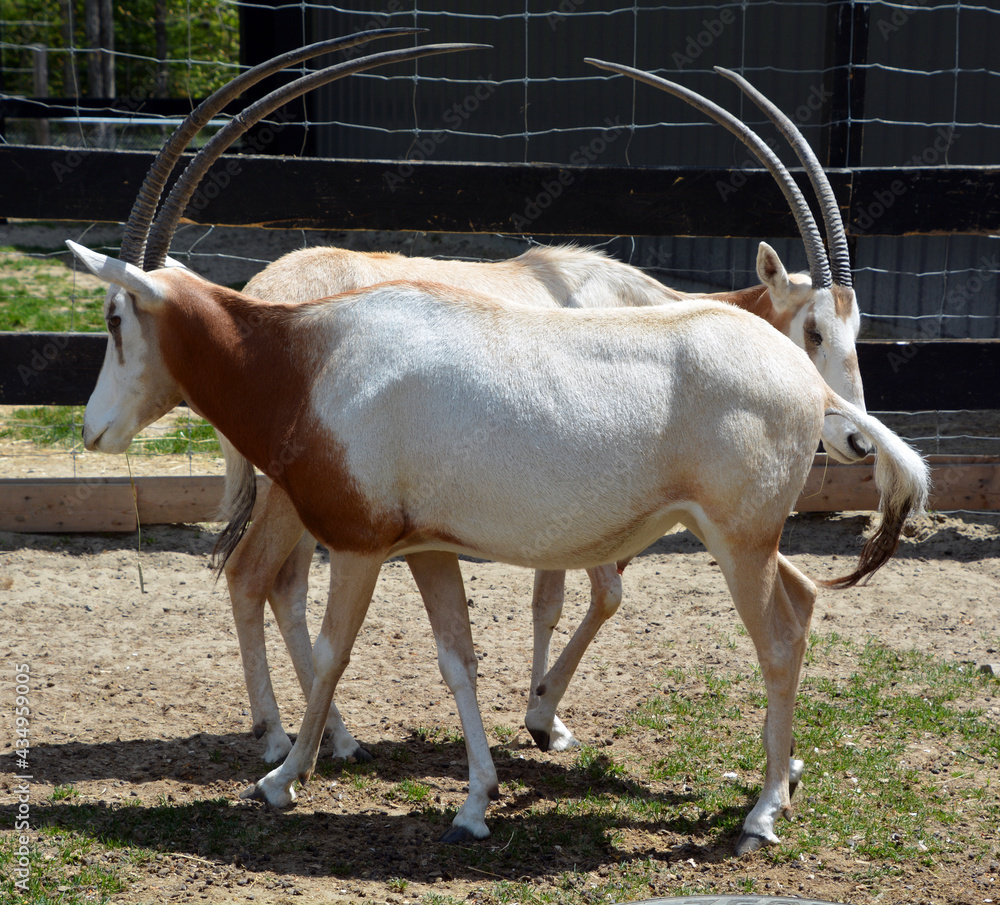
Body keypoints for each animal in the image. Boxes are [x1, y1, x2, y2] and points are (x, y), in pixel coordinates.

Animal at [68, 229, 927, 854]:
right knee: (805, 601)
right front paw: (476, 803)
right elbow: (457, 658)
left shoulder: (361, 544)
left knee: (779, 638)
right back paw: (782, 781)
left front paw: (283, 779)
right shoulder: (427, 547)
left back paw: (760, 816)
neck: (308, 356)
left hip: (739, 542)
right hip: (747, 539)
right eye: (816, 325)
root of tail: (808, 387)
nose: (91, 428)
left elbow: (338, 647)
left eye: (114, 319)